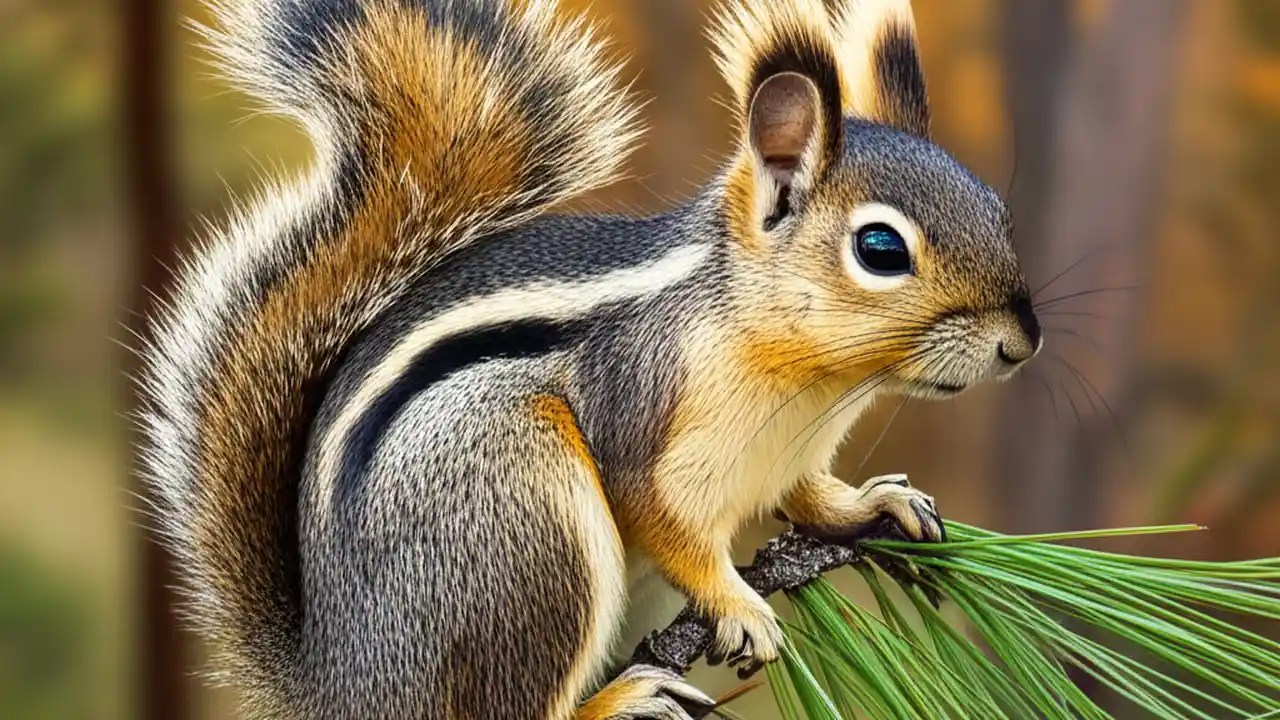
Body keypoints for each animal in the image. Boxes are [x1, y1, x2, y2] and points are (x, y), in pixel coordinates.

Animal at [138, 0, 1041, 717]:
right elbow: (663, 521)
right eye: (880, 248)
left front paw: (876, 503)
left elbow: (812, 498)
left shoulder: (793, 457)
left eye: (997, 210)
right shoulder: (641, 403)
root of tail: (343, 685)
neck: (812, 383)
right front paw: (739, 603)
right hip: (519, 522)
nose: (1022, 343)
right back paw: (619, 701)